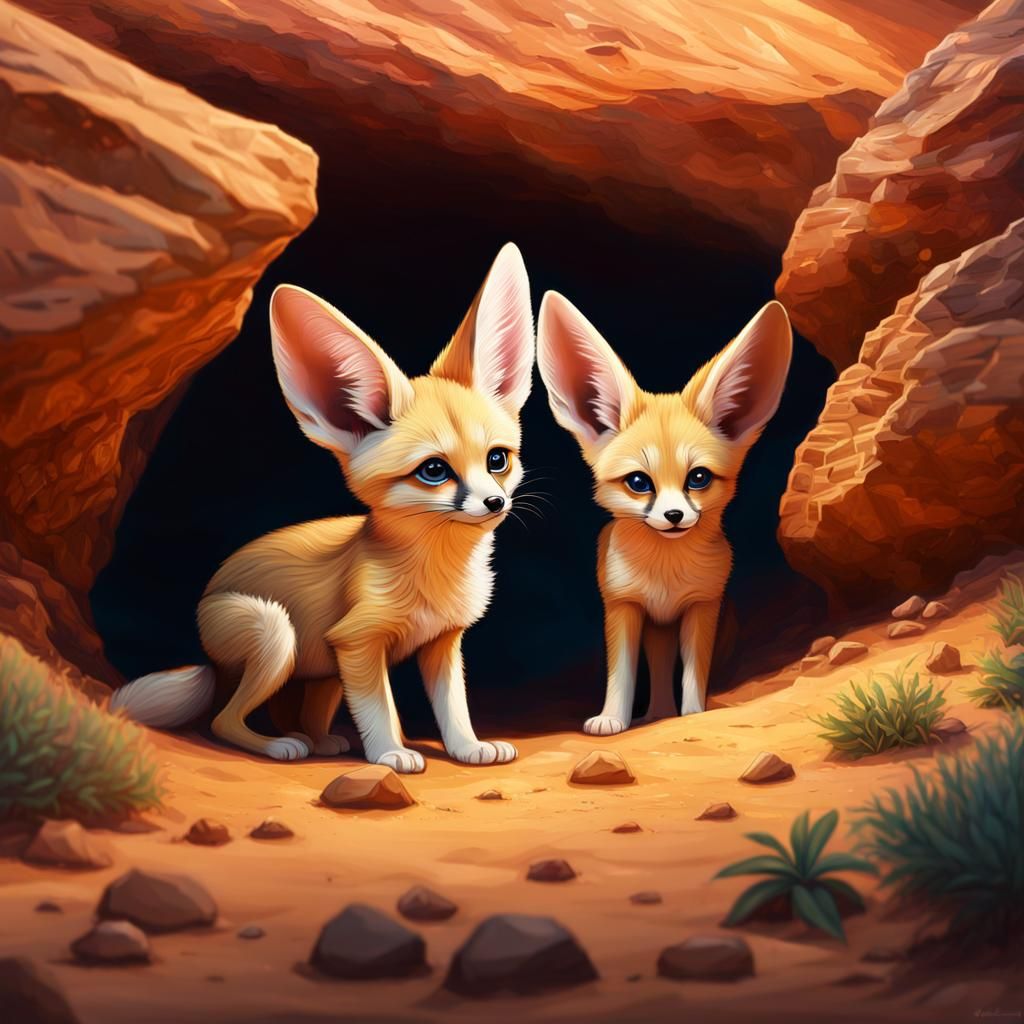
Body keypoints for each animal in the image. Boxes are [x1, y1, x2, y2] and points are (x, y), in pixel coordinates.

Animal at [111, 243, 535, 772]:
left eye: (497, 460)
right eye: (434, 470)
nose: (495, 502)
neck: (436, 571)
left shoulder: (441, 642)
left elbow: (453, 707)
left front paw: (468, 748)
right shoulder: (357, 641)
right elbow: (379, 708)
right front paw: (390, 752)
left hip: (320, 667)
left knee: (293, 709)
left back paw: (318, 740)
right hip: (277, 633)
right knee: (222, 719)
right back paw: (278, 745)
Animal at [536, 292, 792, 736]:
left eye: (698, 477)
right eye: (639, 482)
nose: (674, 516)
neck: (665, 574)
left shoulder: (702, 606)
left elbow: (693, 674)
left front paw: (693, 714)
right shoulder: (622, 605)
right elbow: (622, 674)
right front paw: (612, 718)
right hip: (655, 628)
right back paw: (655, 713)